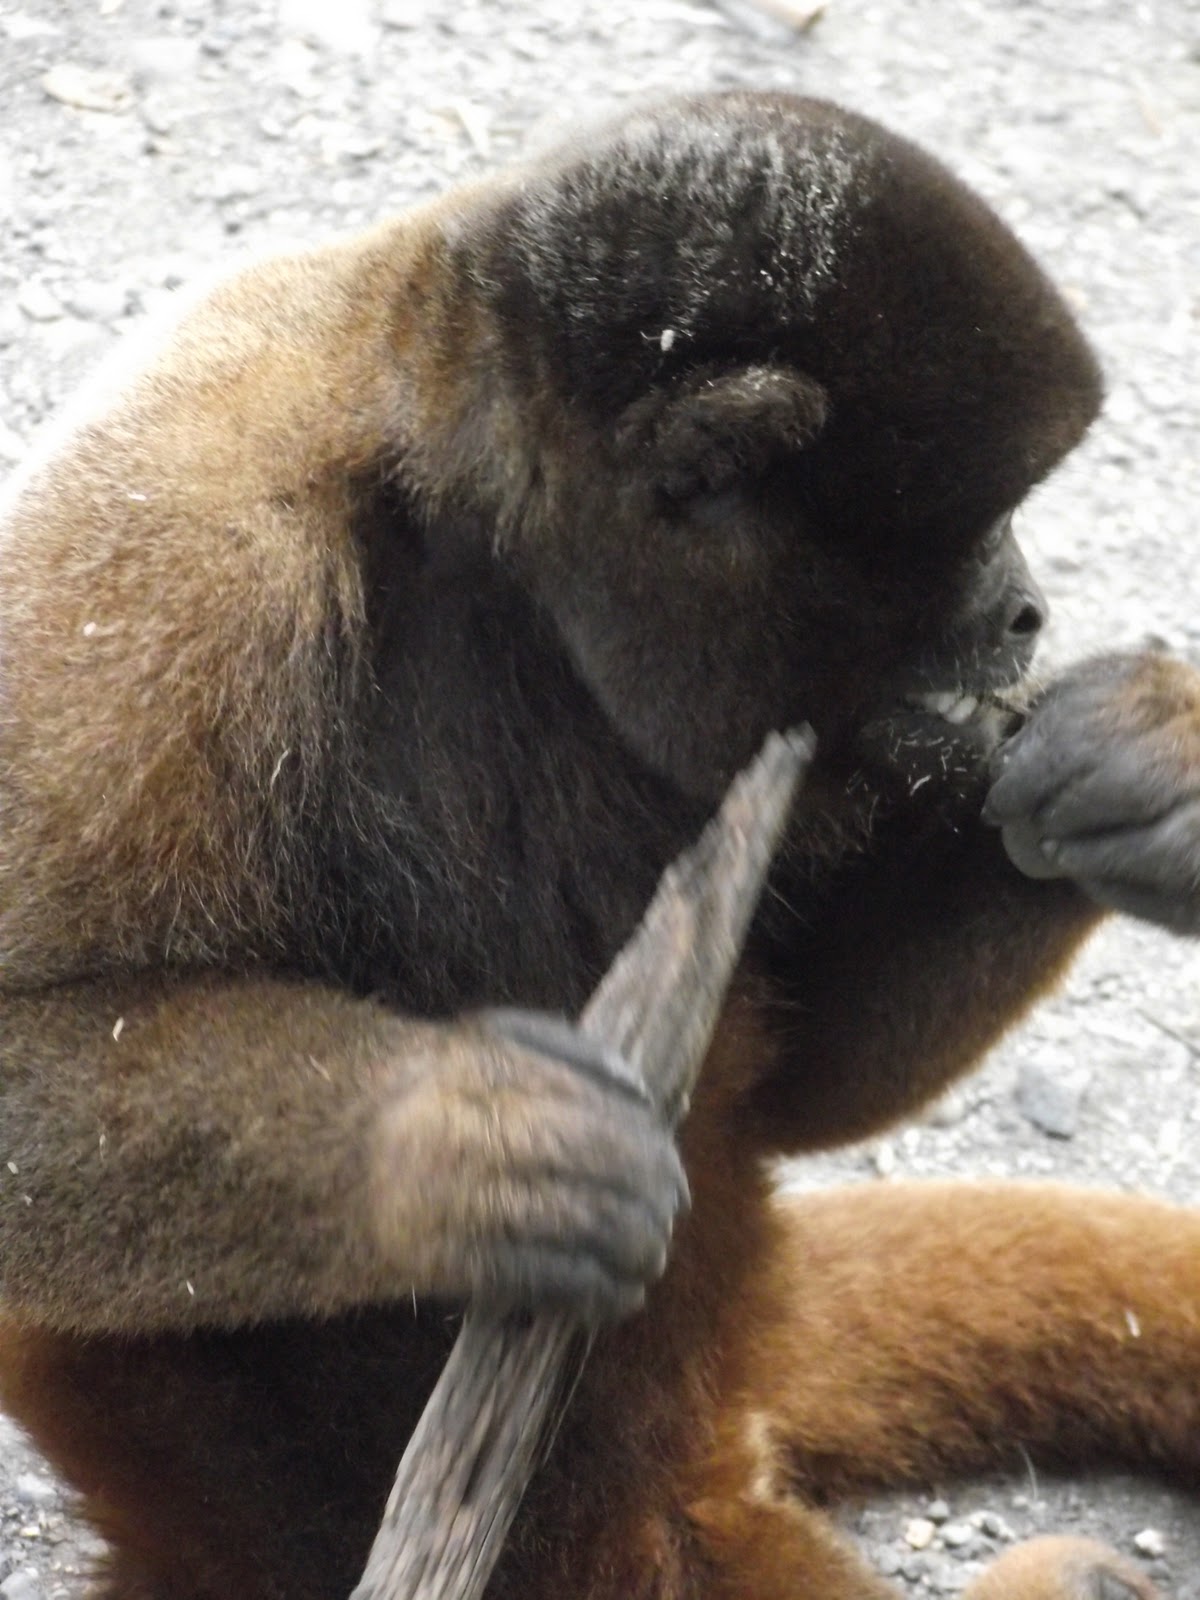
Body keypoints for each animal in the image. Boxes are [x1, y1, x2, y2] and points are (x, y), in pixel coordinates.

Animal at [0, 88, 1197, 1600]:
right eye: (978, 528)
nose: (1032, 608)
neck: (481, 526)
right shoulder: (181, 553)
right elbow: (27, 1058)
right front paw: (461, 1151)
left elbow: (814, 1075)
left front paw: (1144, 777)